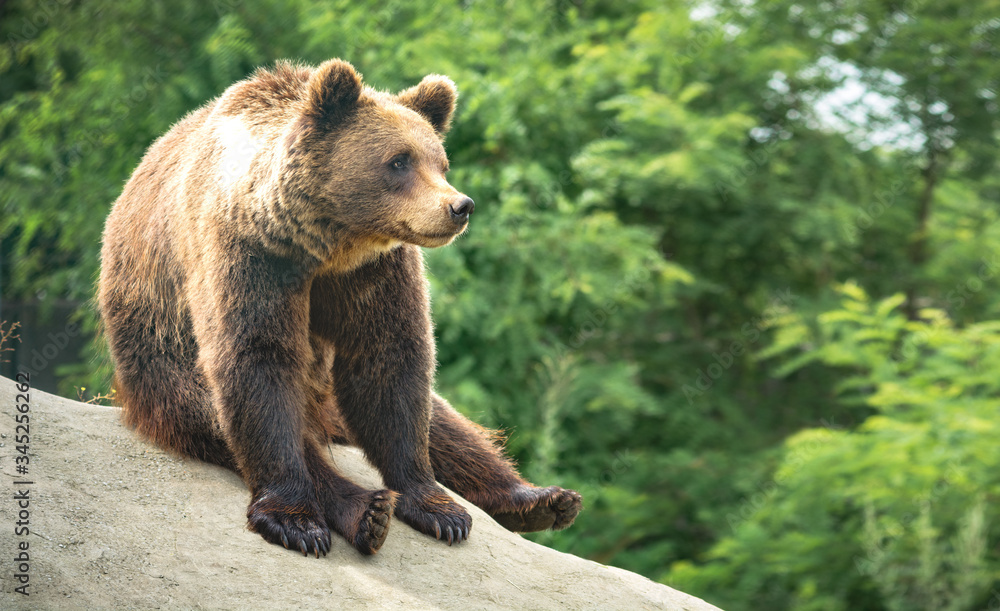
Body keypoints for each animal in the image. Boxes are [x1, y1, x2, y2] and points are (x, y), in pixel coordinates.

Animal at [98, 58, 582, 557]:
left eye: (441, 162)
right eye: (398, 161)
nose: (459, 206)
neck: (328, 244)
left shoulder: (375, 272)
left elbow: (391, 365)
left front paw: (437, 507)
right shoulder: (248, 253)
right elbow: (258, 362)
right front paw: (294, 518)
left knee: (445, 421)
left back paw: (539, 499)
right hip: (160, 359)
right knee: (221, 416)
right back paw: (365, 511)